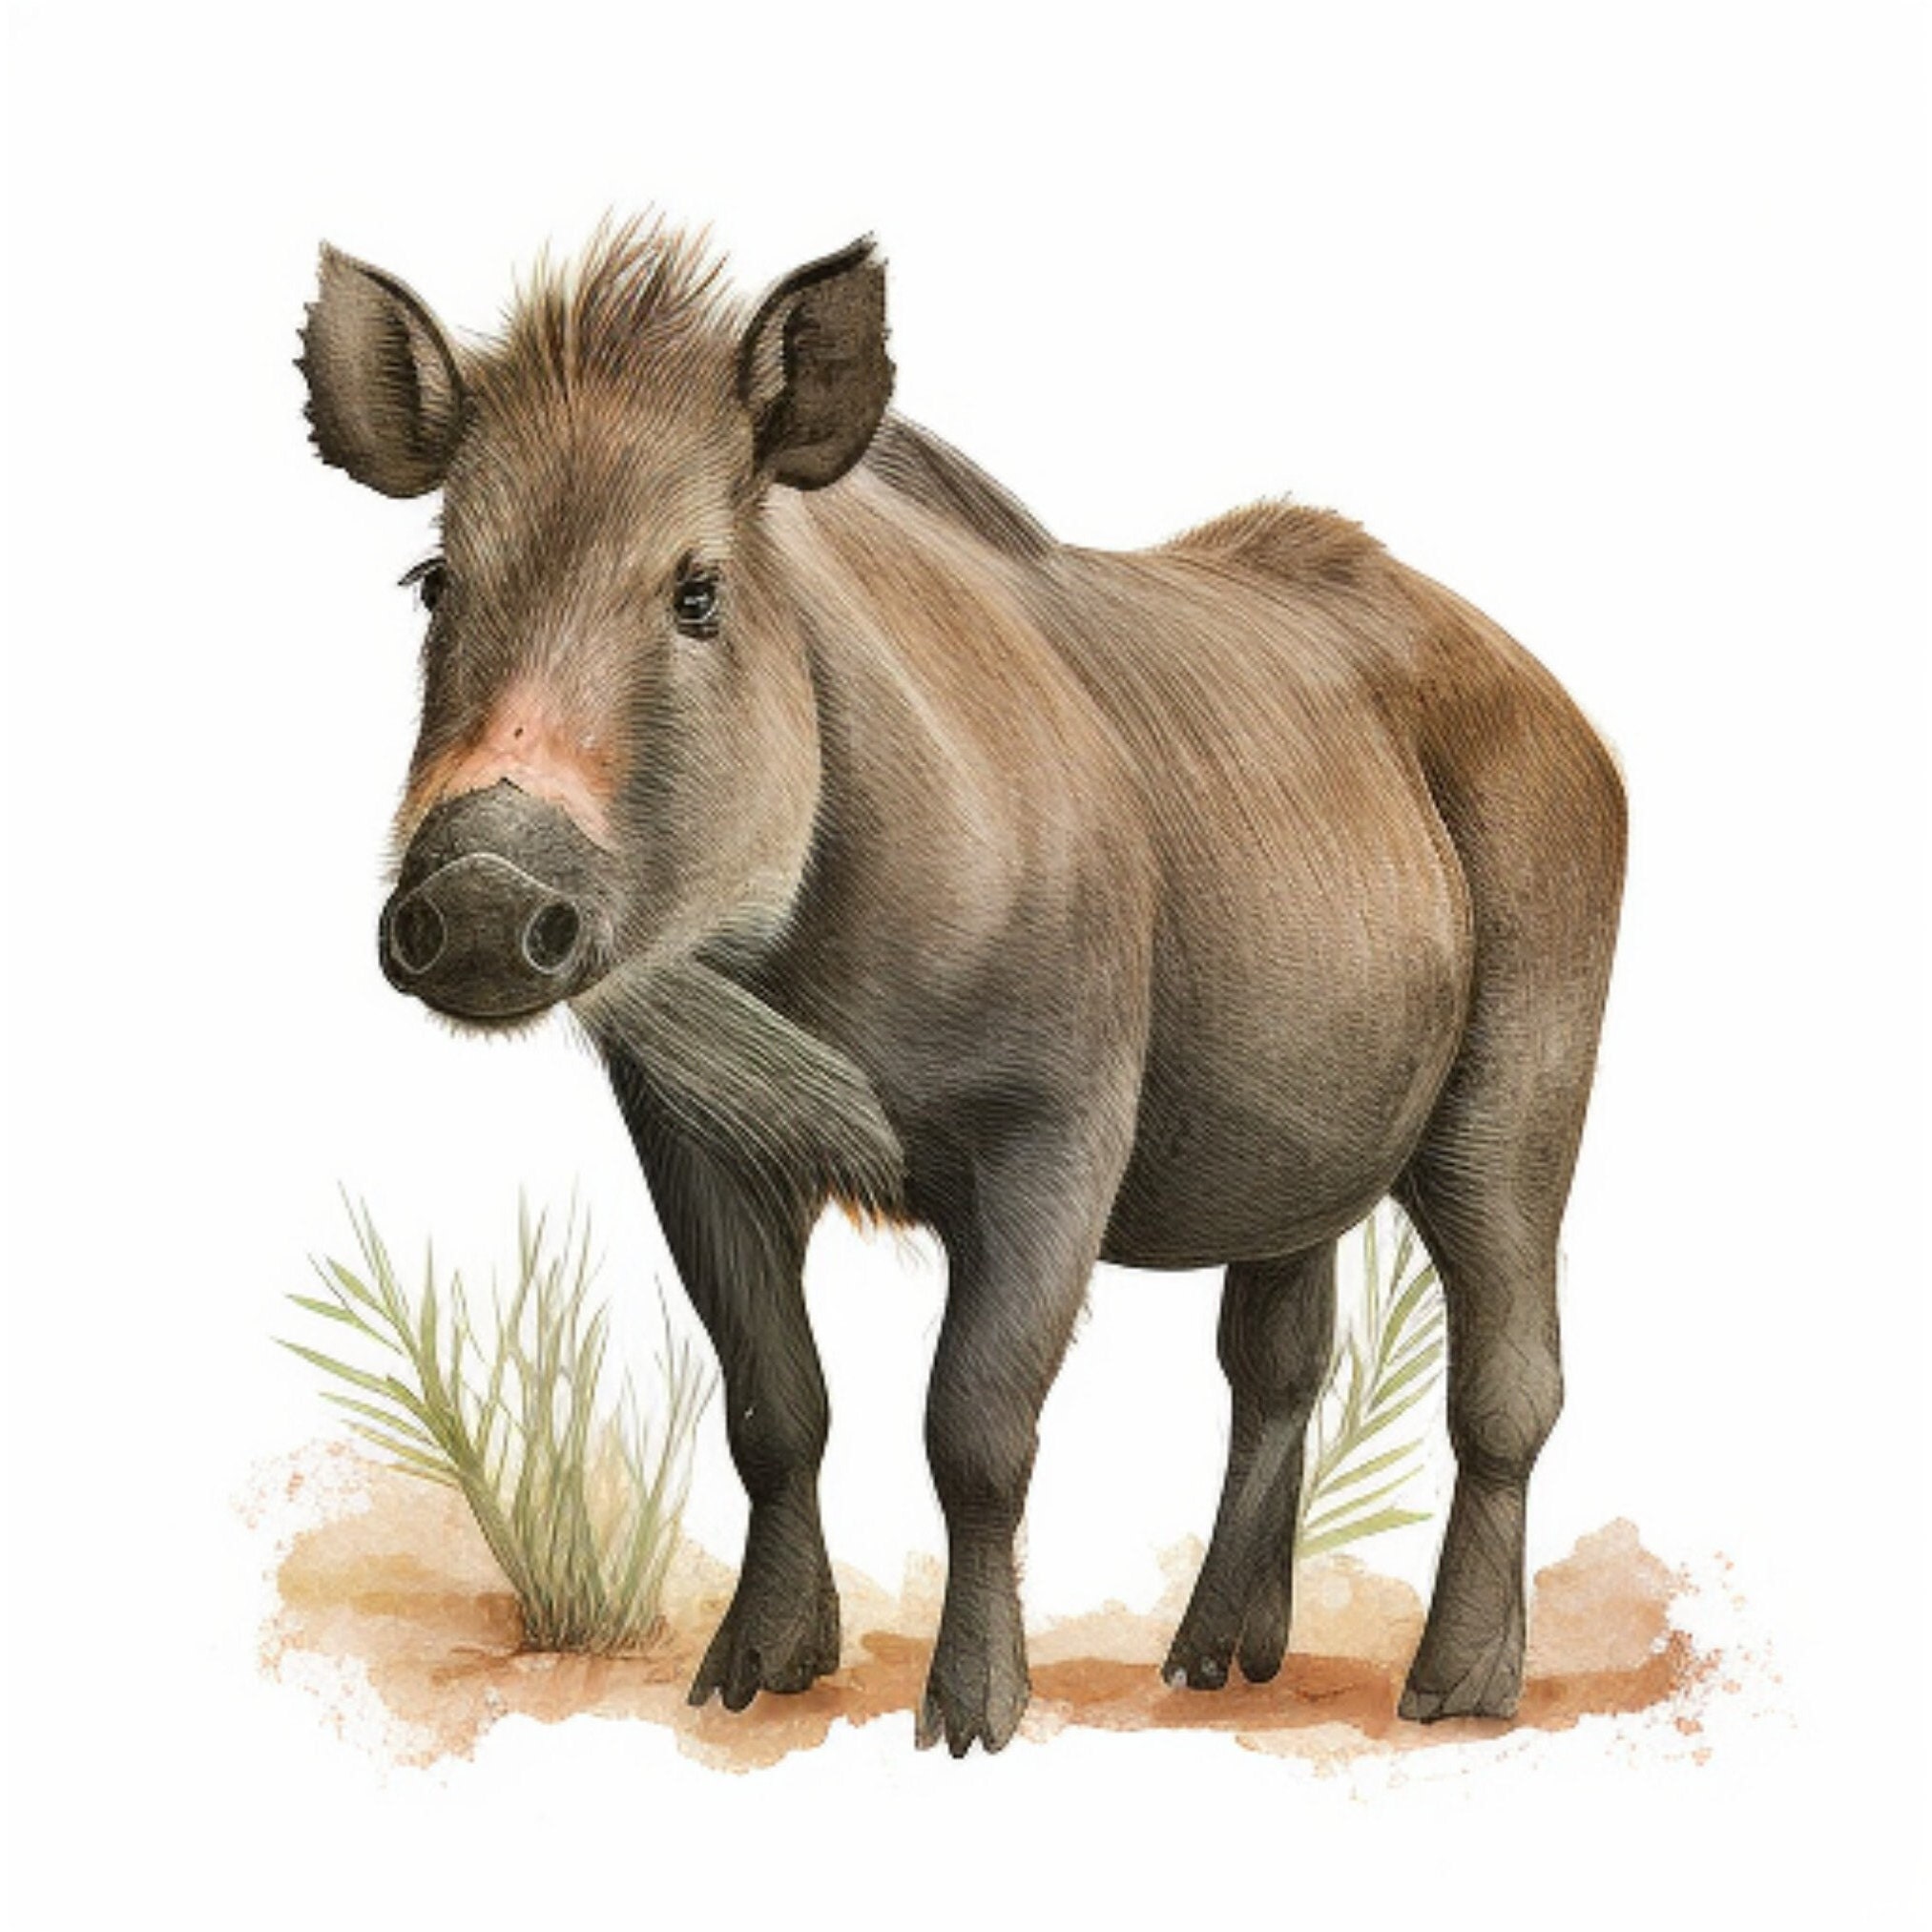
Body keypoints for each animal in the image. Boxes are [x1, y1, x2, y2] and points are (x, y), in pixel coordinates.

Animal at [299, 219, 1625, 1755]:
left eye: (697, 592)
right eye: (436, 584)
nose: (472, 903)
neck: (791, 963)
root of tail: (1577, 722)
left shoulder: (1056, 1122)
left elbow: (977, 1427)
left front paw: (970, 1724)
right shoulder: (689, 1132)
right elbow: (775, 1406)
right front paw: (750, 1682)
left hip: (1531, 1069)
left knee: (1508, 1364)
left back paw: (1452, 1697)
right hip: (1302, 1135)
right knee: (1281, 1355)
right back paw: (1212, 1668)